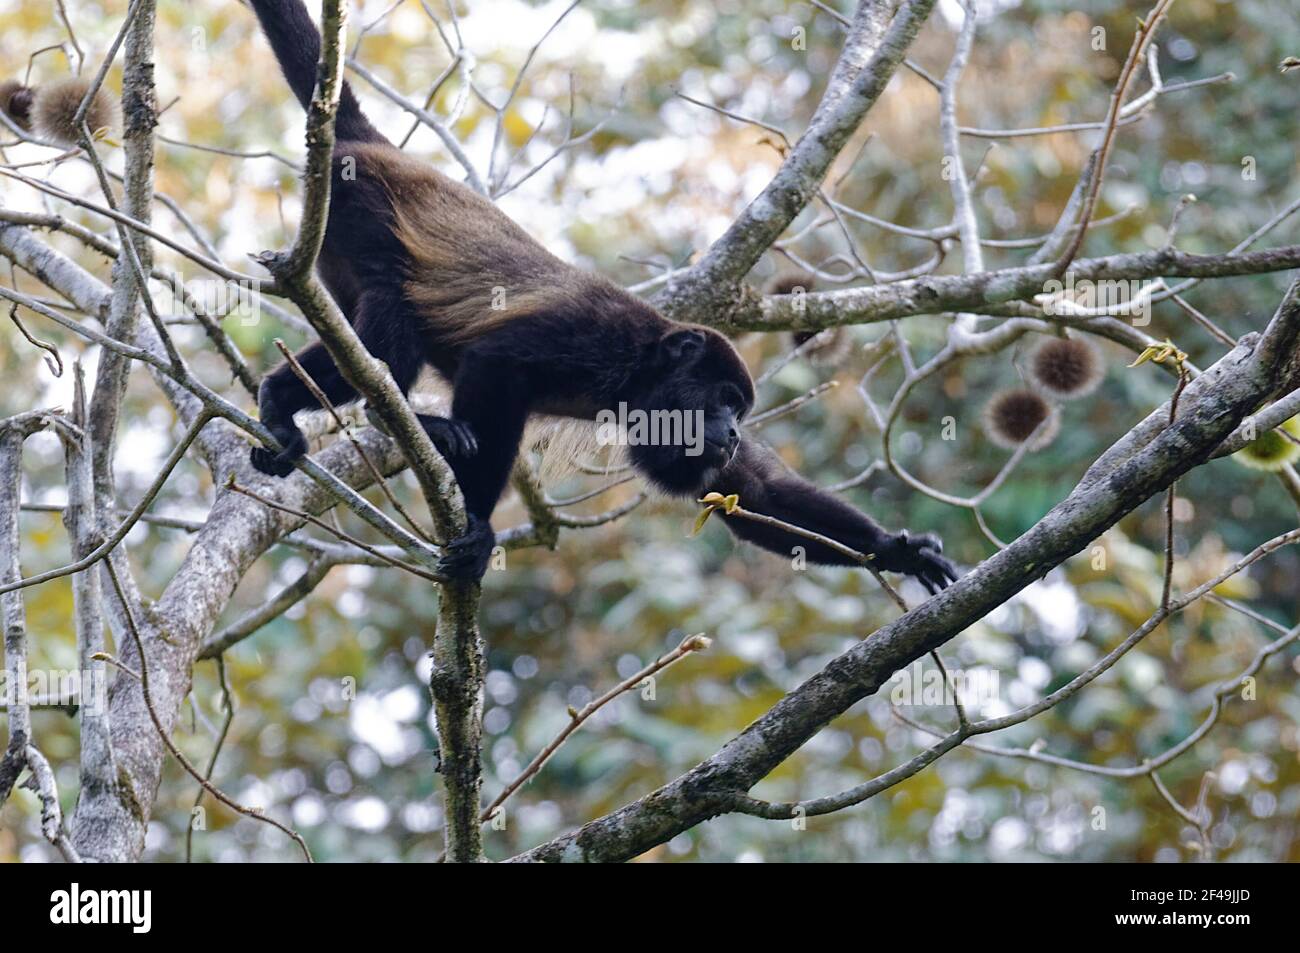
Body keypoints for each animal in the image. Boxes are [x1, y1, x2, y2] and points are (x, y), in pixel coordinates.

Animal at [240, 0, 958, 593]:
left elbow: (754, 489)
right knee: (392, 329)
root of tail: (368, 144)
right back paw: (323, 407)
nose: (729, 432)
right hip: (359, 206)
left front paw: (899, 550)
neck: (644, 365)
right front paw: (478, 527)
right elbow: (497, 366)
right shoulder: (590, 335)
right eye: (724, 400)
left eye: (740, 413)